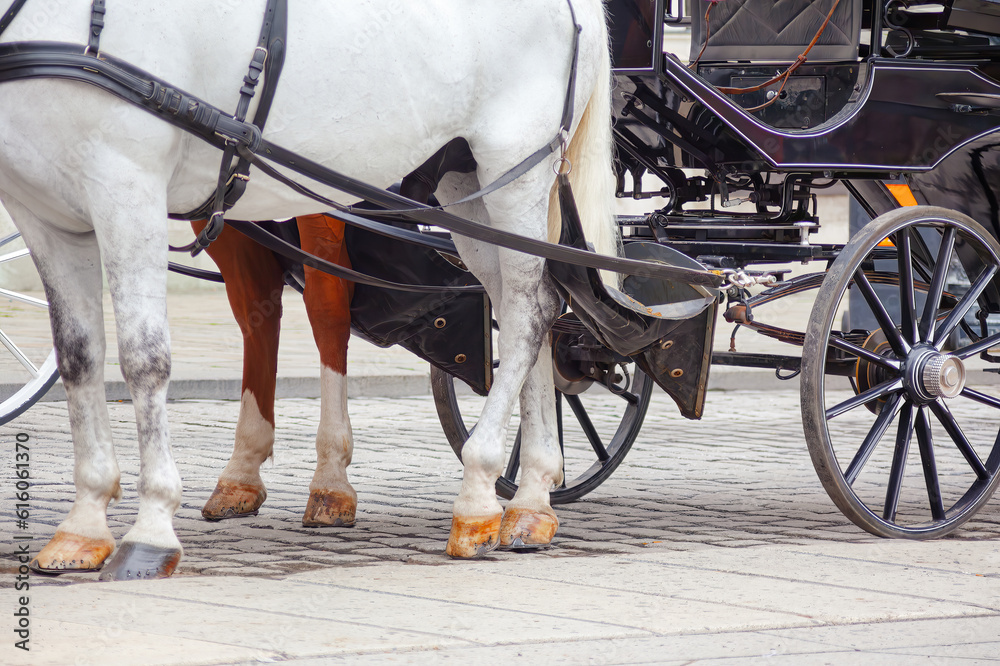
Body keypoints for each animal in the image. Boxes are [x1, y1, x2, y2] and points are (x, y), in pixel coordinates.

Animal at [0, 0, 617, 580]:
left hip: (518, 167)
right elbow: (79, 358)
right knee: (530, 305)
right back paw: (531, 500)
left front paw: (151, 530)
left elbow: (144, 359)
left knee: (525, 314)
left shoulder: (129, 187)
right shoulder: (46, 213)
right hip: (466, 184)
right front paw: (83, 527)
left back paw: (478, 494)